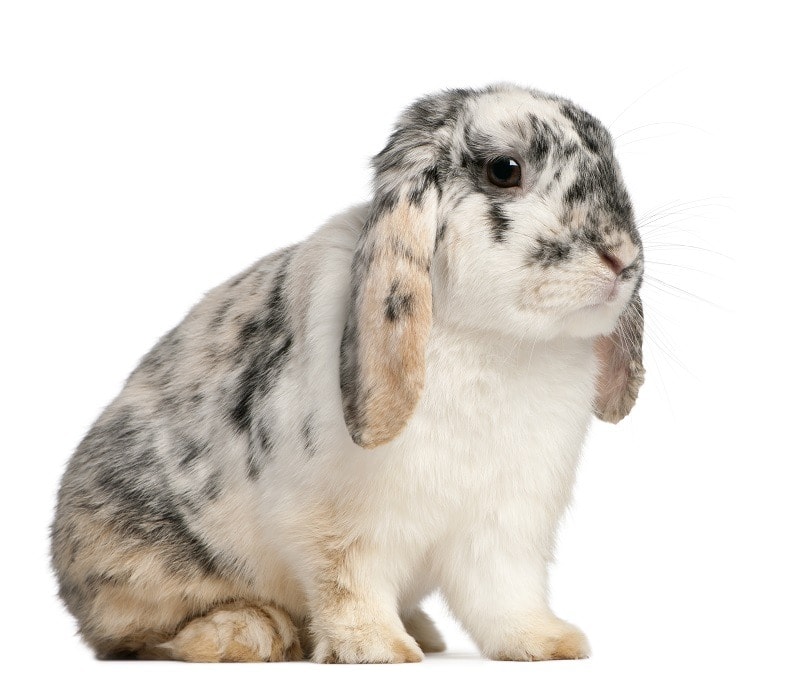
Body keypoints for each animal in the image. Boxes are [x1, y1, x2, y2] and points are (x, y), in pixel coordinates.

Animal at [51, 83, 644, 663]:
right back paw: (245, 634)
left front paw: (550, 645)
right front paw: (378, 650)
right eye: (505, 169)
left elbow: (504, 598)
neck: (495, 343)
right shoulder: (339, 526)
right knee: (138, 634)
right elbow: (347, 583)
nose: (622, 259)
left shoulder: (504, 529)